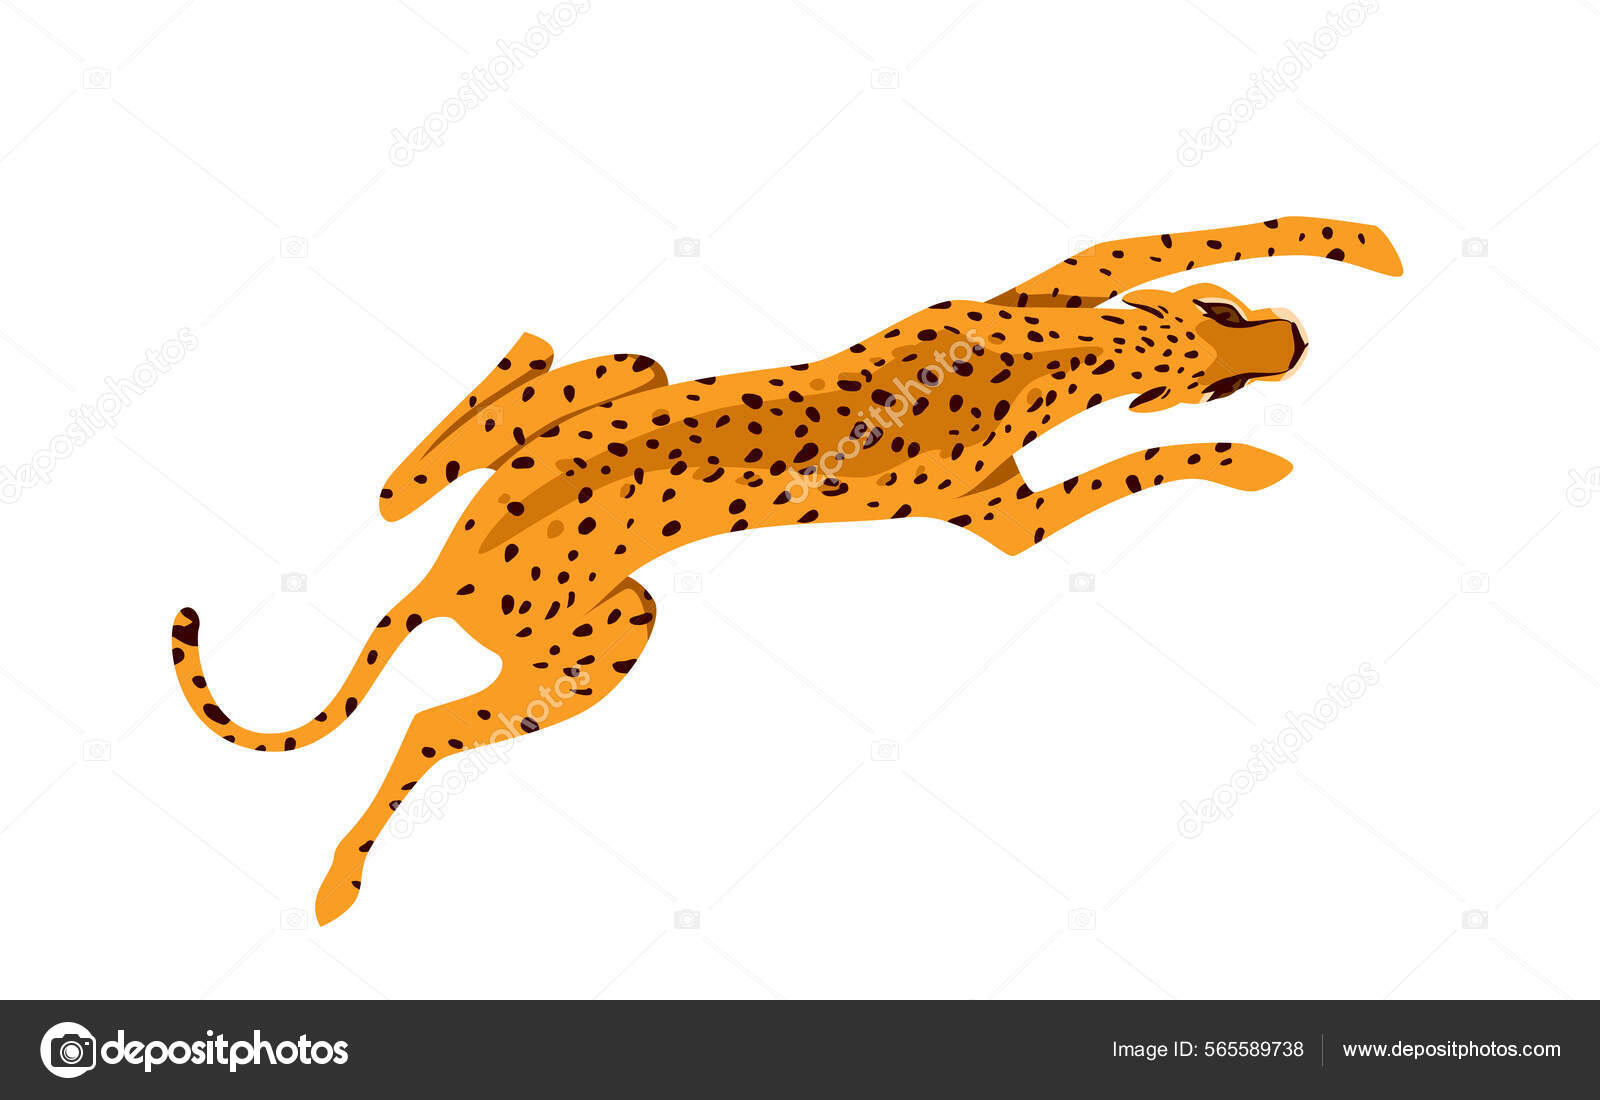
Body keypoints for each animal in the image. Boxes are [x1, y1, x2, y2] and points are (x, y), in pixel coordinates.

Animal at [170, 217, 1402, 923]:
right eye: (1225, 368)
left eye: (1228, 317)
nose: (1289, 344)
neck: (1057, 357)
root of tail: (441, 575)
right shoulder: (1011, 520)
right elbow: (1142, 462)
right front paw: (1249, 461)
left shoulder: (1061, 280)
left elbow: (1210, 226)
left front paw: (1363, 240)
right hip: (612, 633)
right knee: (429, 725)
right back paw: (340, 882)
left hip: (620, 385)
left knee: (394, 486)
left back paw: (523, 351)